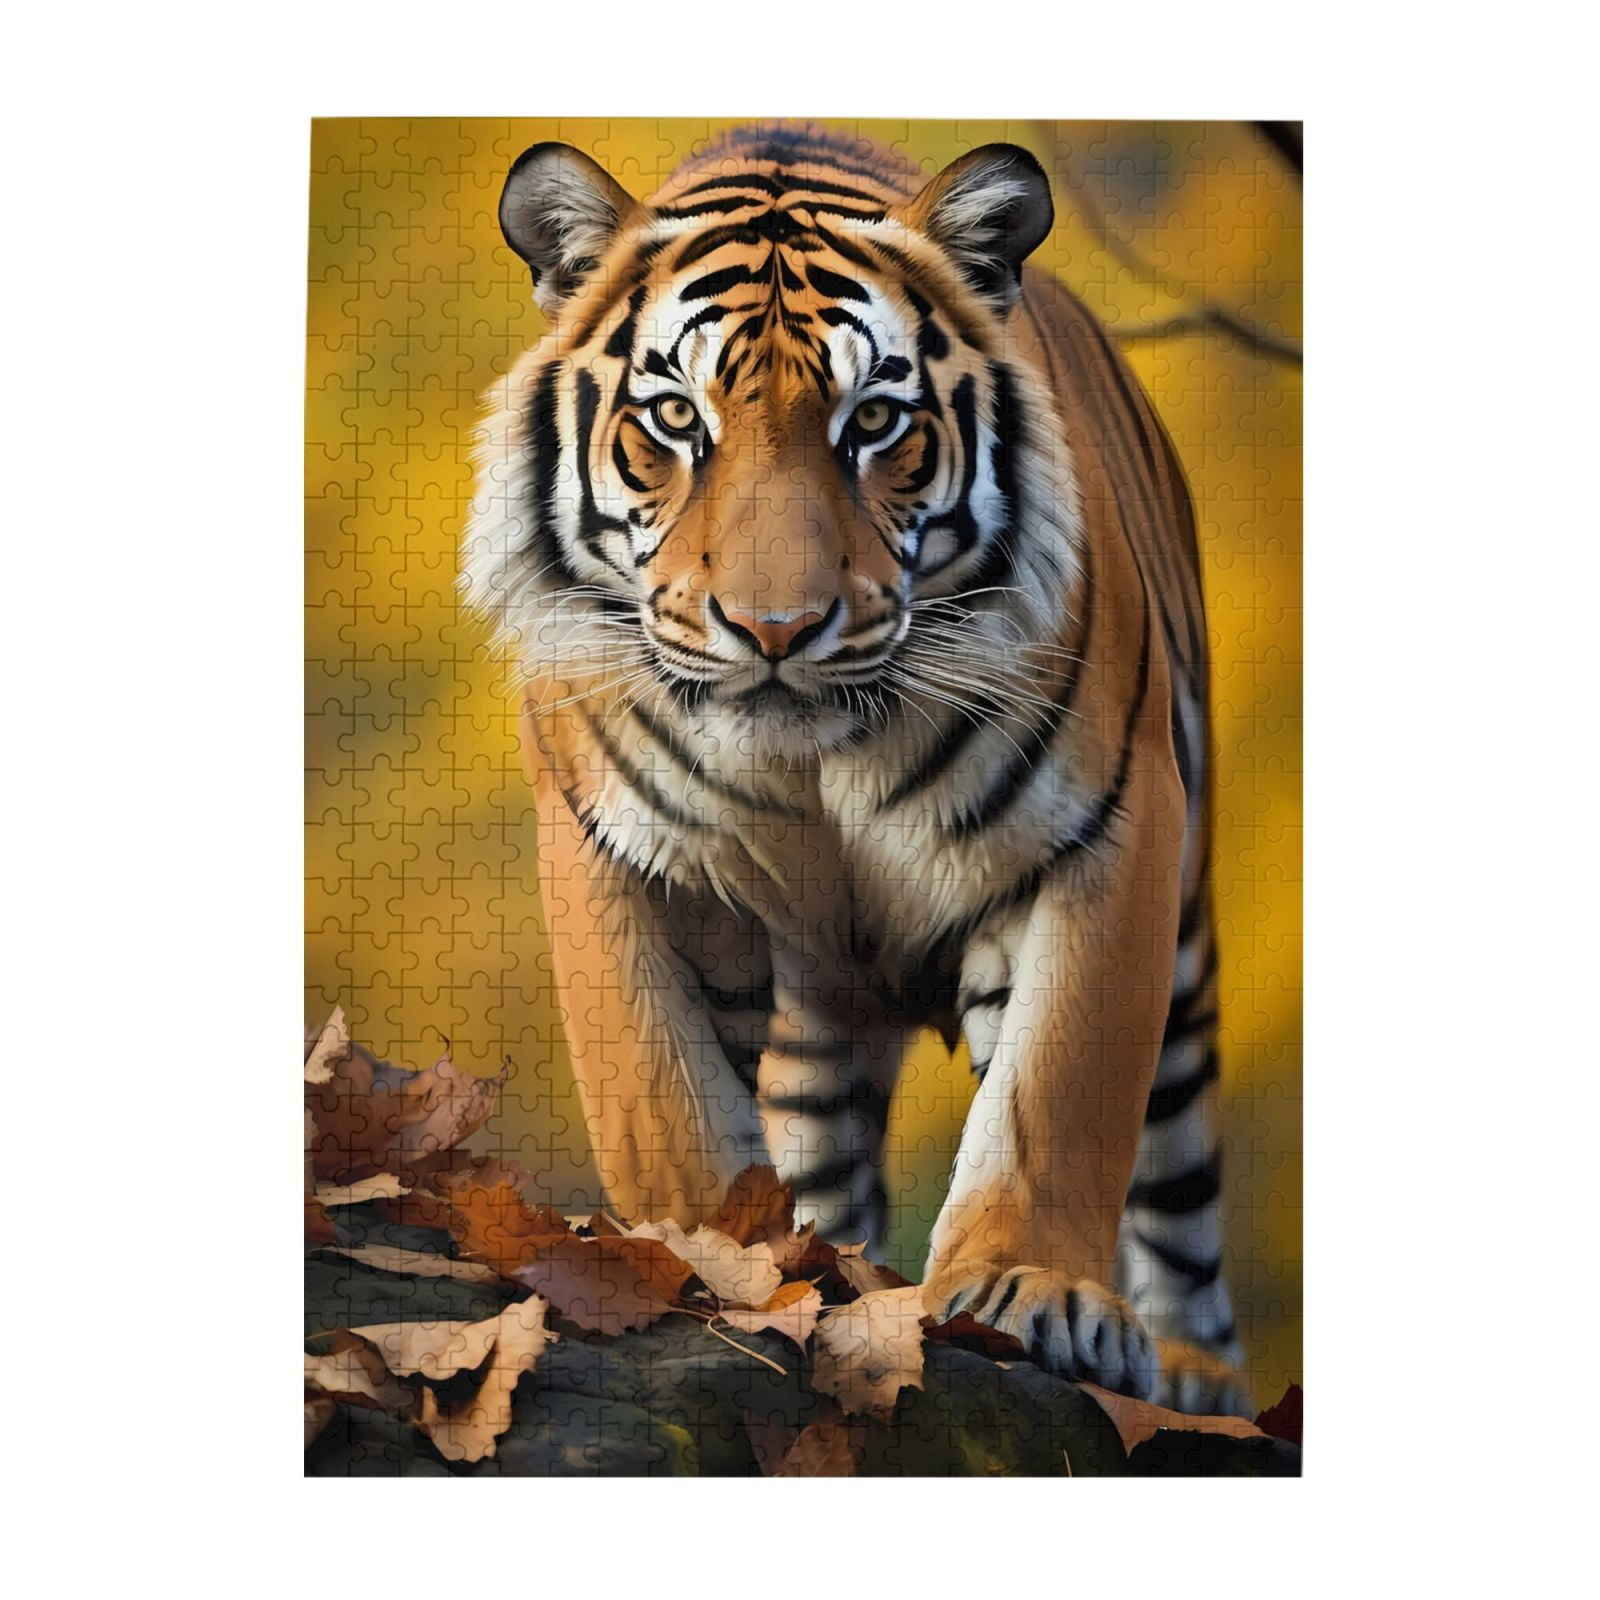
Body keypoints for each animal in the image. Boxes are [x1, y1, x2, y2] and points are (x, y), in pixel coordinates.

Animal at [463, 123, 1246, 1411]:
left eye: (874, 422)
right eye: (674, 418)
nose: (774, 628)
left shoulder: (1110, 829)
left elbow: (1053, 1095)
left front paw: (1036, 1294)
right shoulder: (609, 846)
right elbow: (662, 1100)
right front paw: (700, 1258)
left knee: (1177, 1188)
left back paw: (1190, 1377)